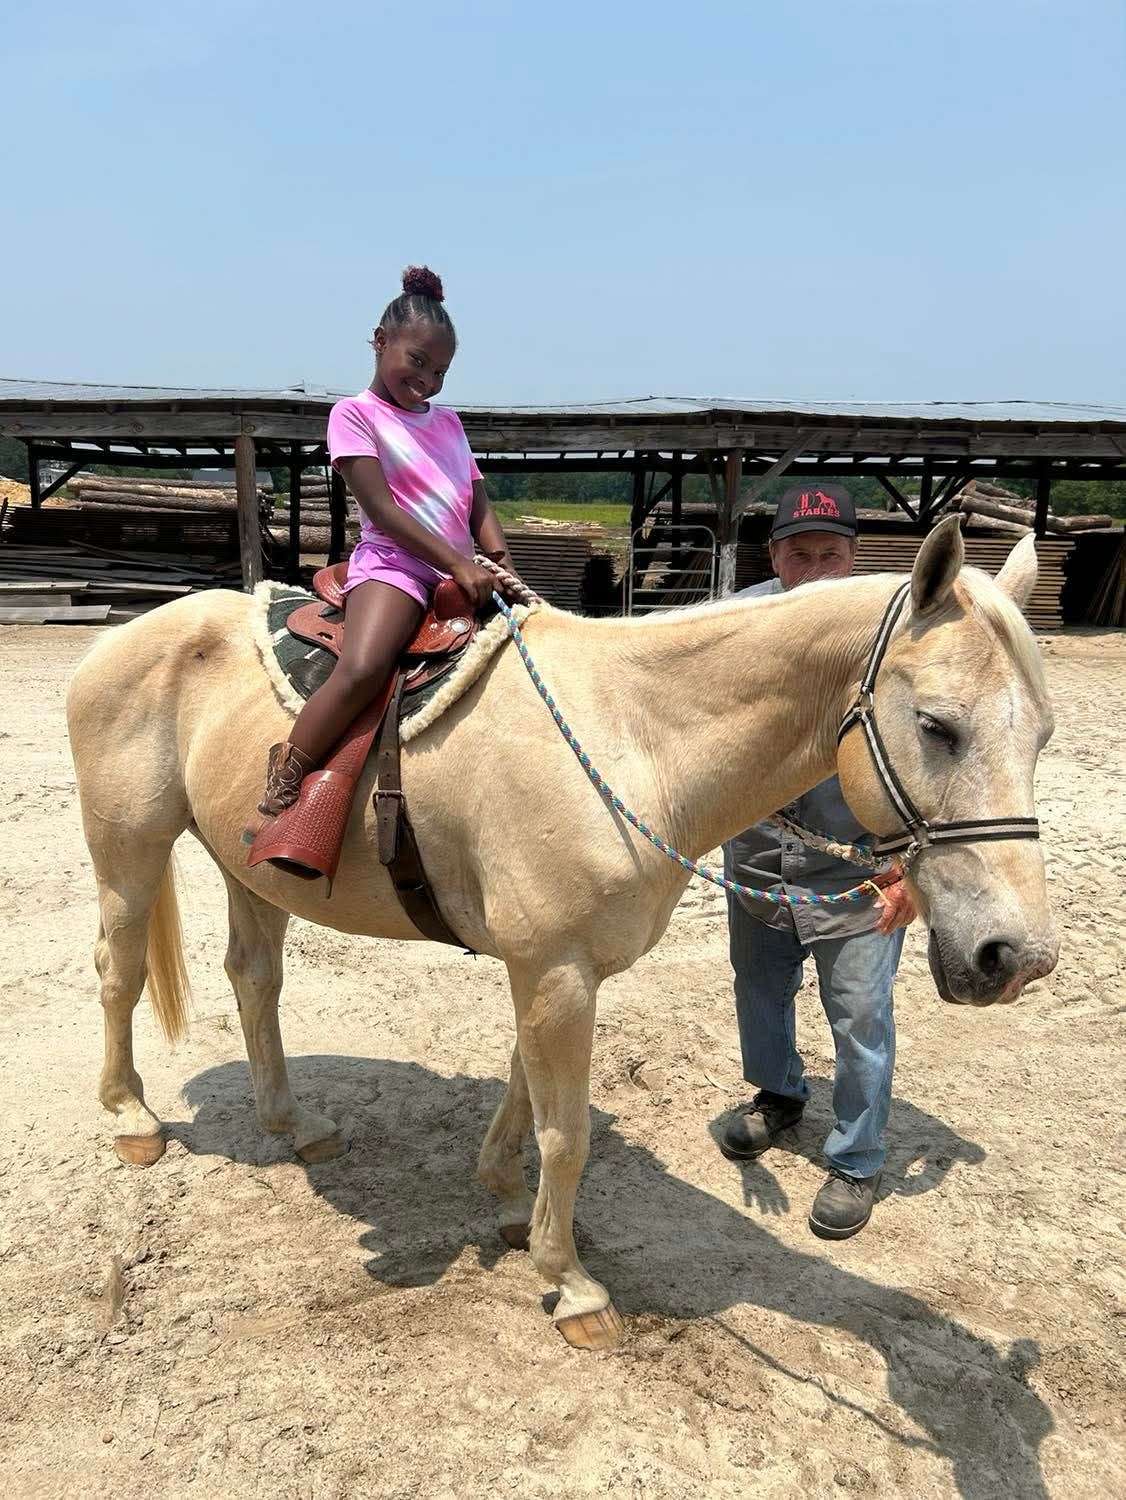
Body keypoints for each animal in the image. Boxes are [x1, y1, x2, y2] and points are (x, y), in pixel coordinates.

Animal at [66, 517, 1057, 1350]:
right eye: (936, 725)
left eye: (1044, 734)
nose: (1016, 959)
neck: (637, 738)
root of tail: (119, 640)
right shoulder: (555, 969)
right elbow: (567, 1132)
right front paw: (573, 1284)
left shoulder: (550, 967)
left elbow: (525, 1091)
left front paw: (508, 1200)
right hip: (130, 849)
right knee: (118, 970)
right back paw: (132, 1117)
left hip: (252, 871)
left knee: (254, 979)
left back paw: (294, 1122)